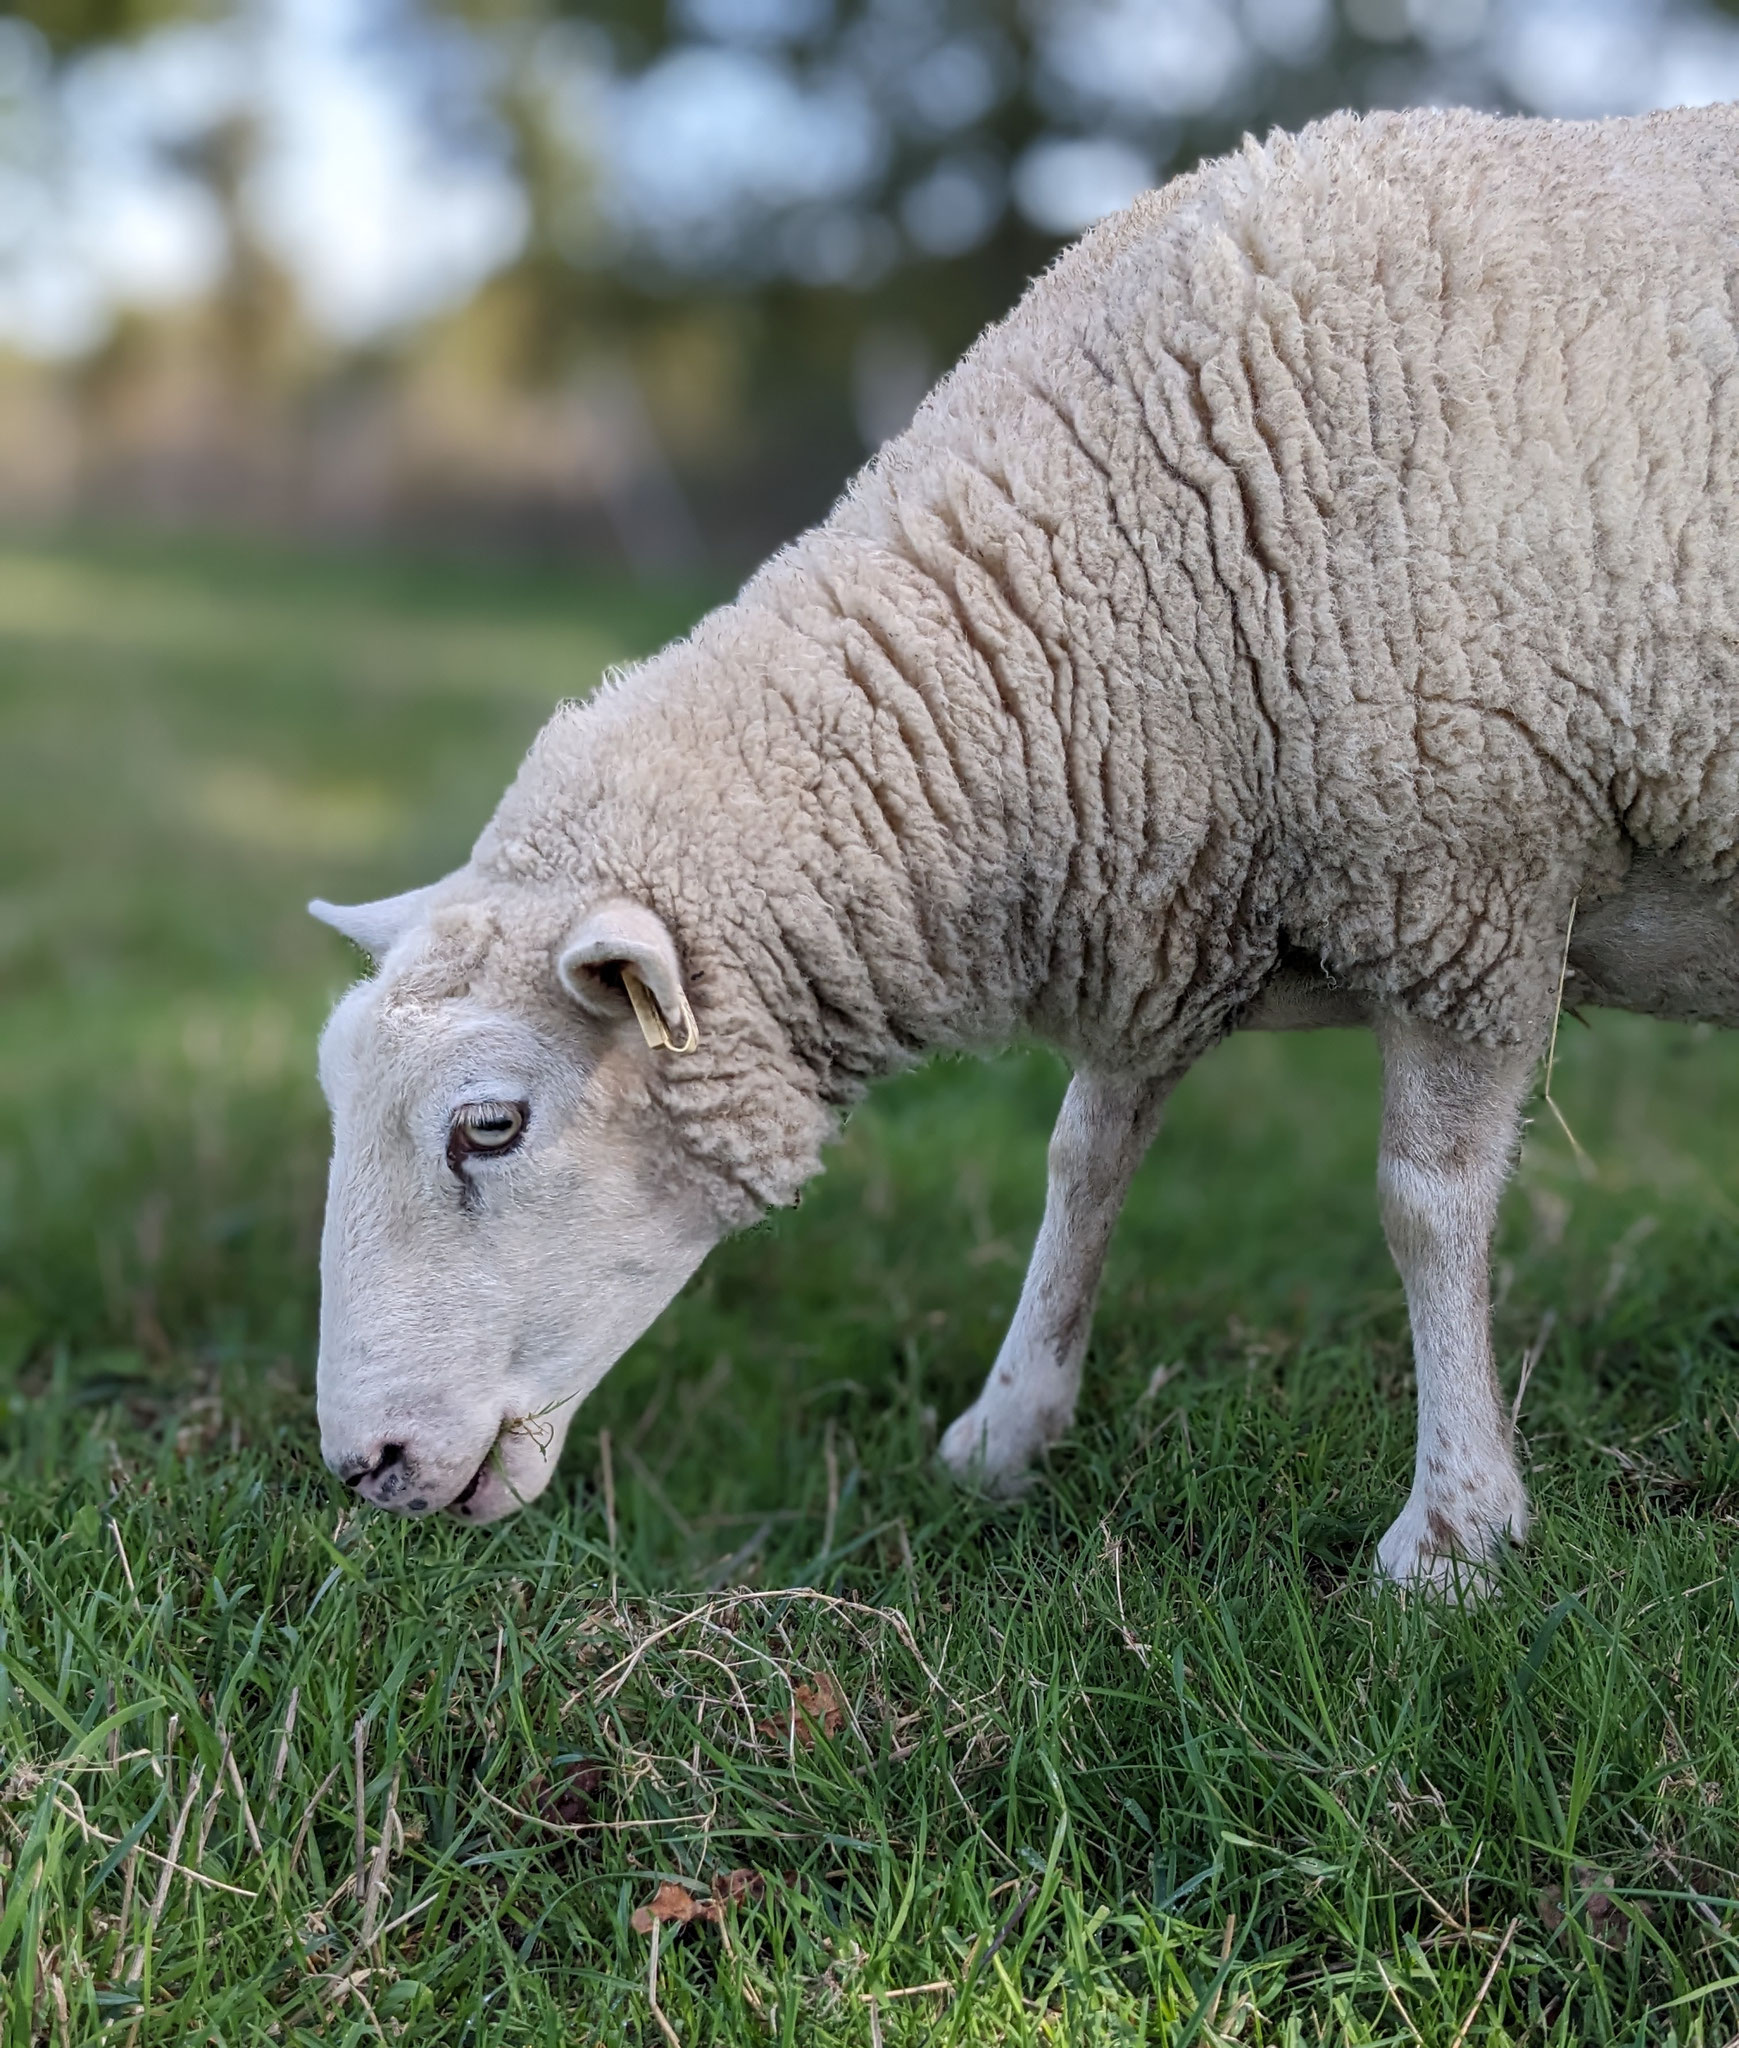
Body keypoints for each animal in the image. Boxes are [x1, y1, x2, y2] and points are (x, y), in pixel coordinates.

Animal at [312, 103, 1739, 1585]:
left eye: (489, 1126)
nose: (367, 1467)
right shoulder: (1169, 891)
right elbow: (1082, 1164)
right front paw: (1003, 1434)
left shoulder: (1465, 884)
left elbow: (1424, 1207)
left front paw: (1451, 1536)